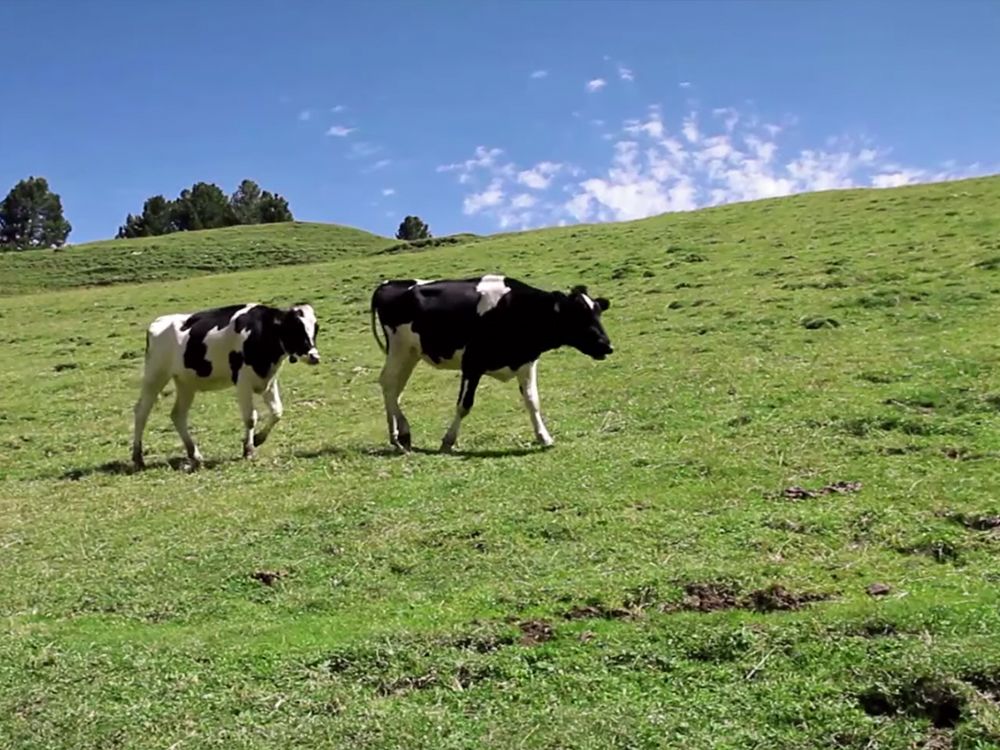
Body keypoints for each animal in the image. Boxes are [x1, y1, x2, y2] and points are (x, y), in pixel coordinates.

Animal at [131, 302, 321, 468]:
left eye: (315, 329)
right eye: (295, 328)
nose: (314, 356)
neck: (262, 332)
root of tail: (158, 322)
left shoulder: (268, 380)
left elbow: (277, 412)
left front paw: (258, 439)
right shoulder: (243, 381)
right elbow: (250, 418)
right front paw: (248, 450)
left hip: (185, 383)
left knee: (178, 415)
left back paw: (194, 454)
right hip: (155, 375)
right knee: (141, 412)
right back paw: (138, 458)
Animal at [370, 275, 613, 453]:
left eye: (598, 312)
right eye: (578, 314)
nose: (607, 346)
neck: (518, 310)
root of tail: (389, 283)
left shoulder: (526, 363)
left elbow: (533, 401)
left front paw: (544, 437)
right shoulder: (472, 364)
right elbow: (464, 405)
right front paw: (448, 441)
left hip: (410, 353)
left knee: (396, 388)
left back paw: (397, 435)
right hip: (399, 348)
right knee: (389, 383)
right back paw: (401, 435)